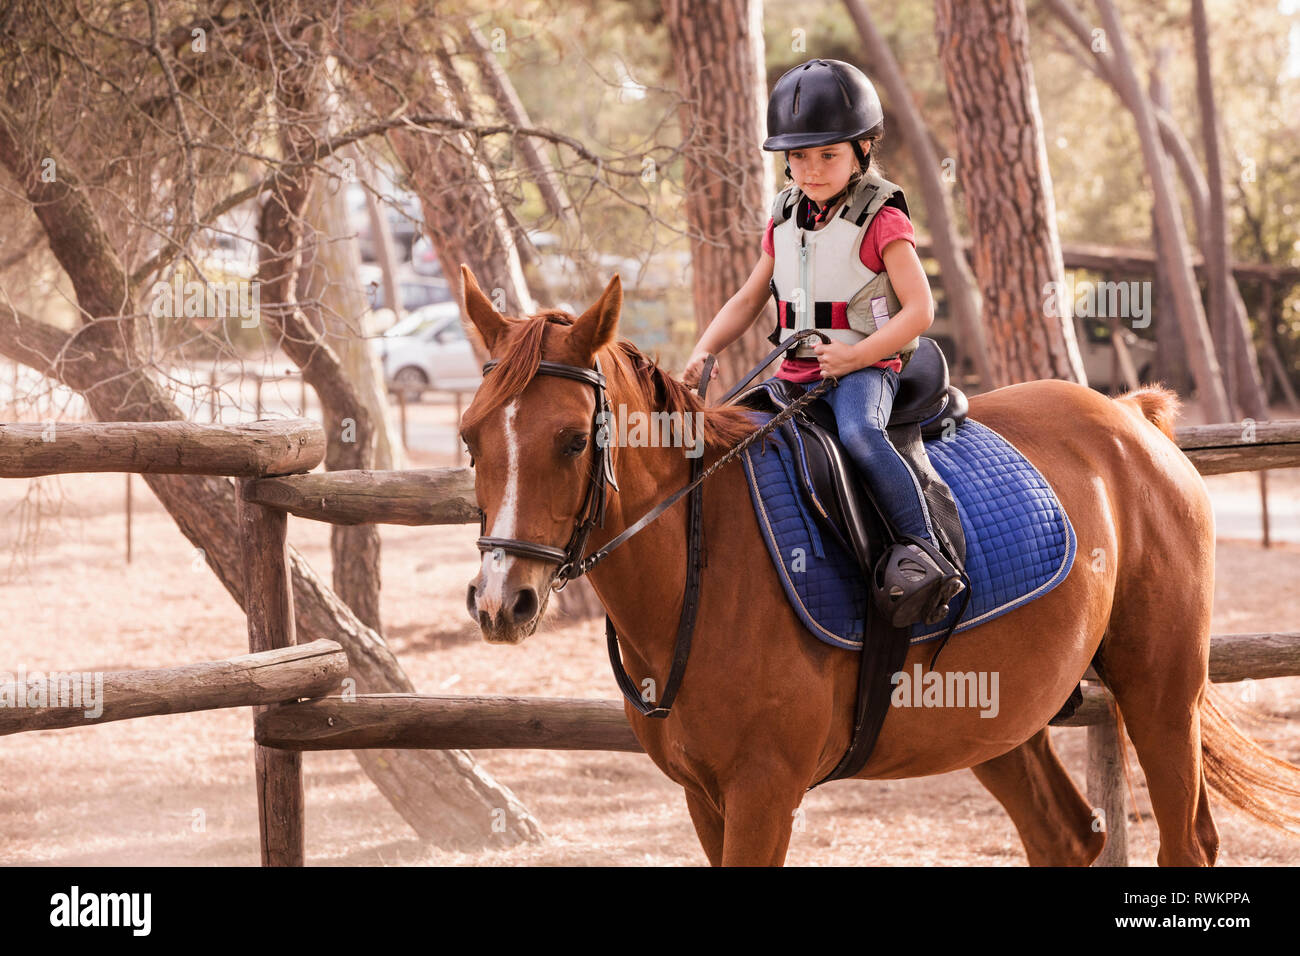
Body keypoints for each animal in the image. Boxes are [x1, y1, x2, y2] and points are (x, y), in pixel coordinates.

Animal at [458, 265, 1300, 866]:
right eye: (470, 436)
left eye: (573, 440)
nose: (503, 603)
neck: (700, 563)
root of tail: (1130, 417)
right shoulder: (705, 797)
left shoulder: (763, 792)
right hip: (995, 716)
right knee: (1067, 837)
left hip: (1160, 690)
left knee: (1185, 843)